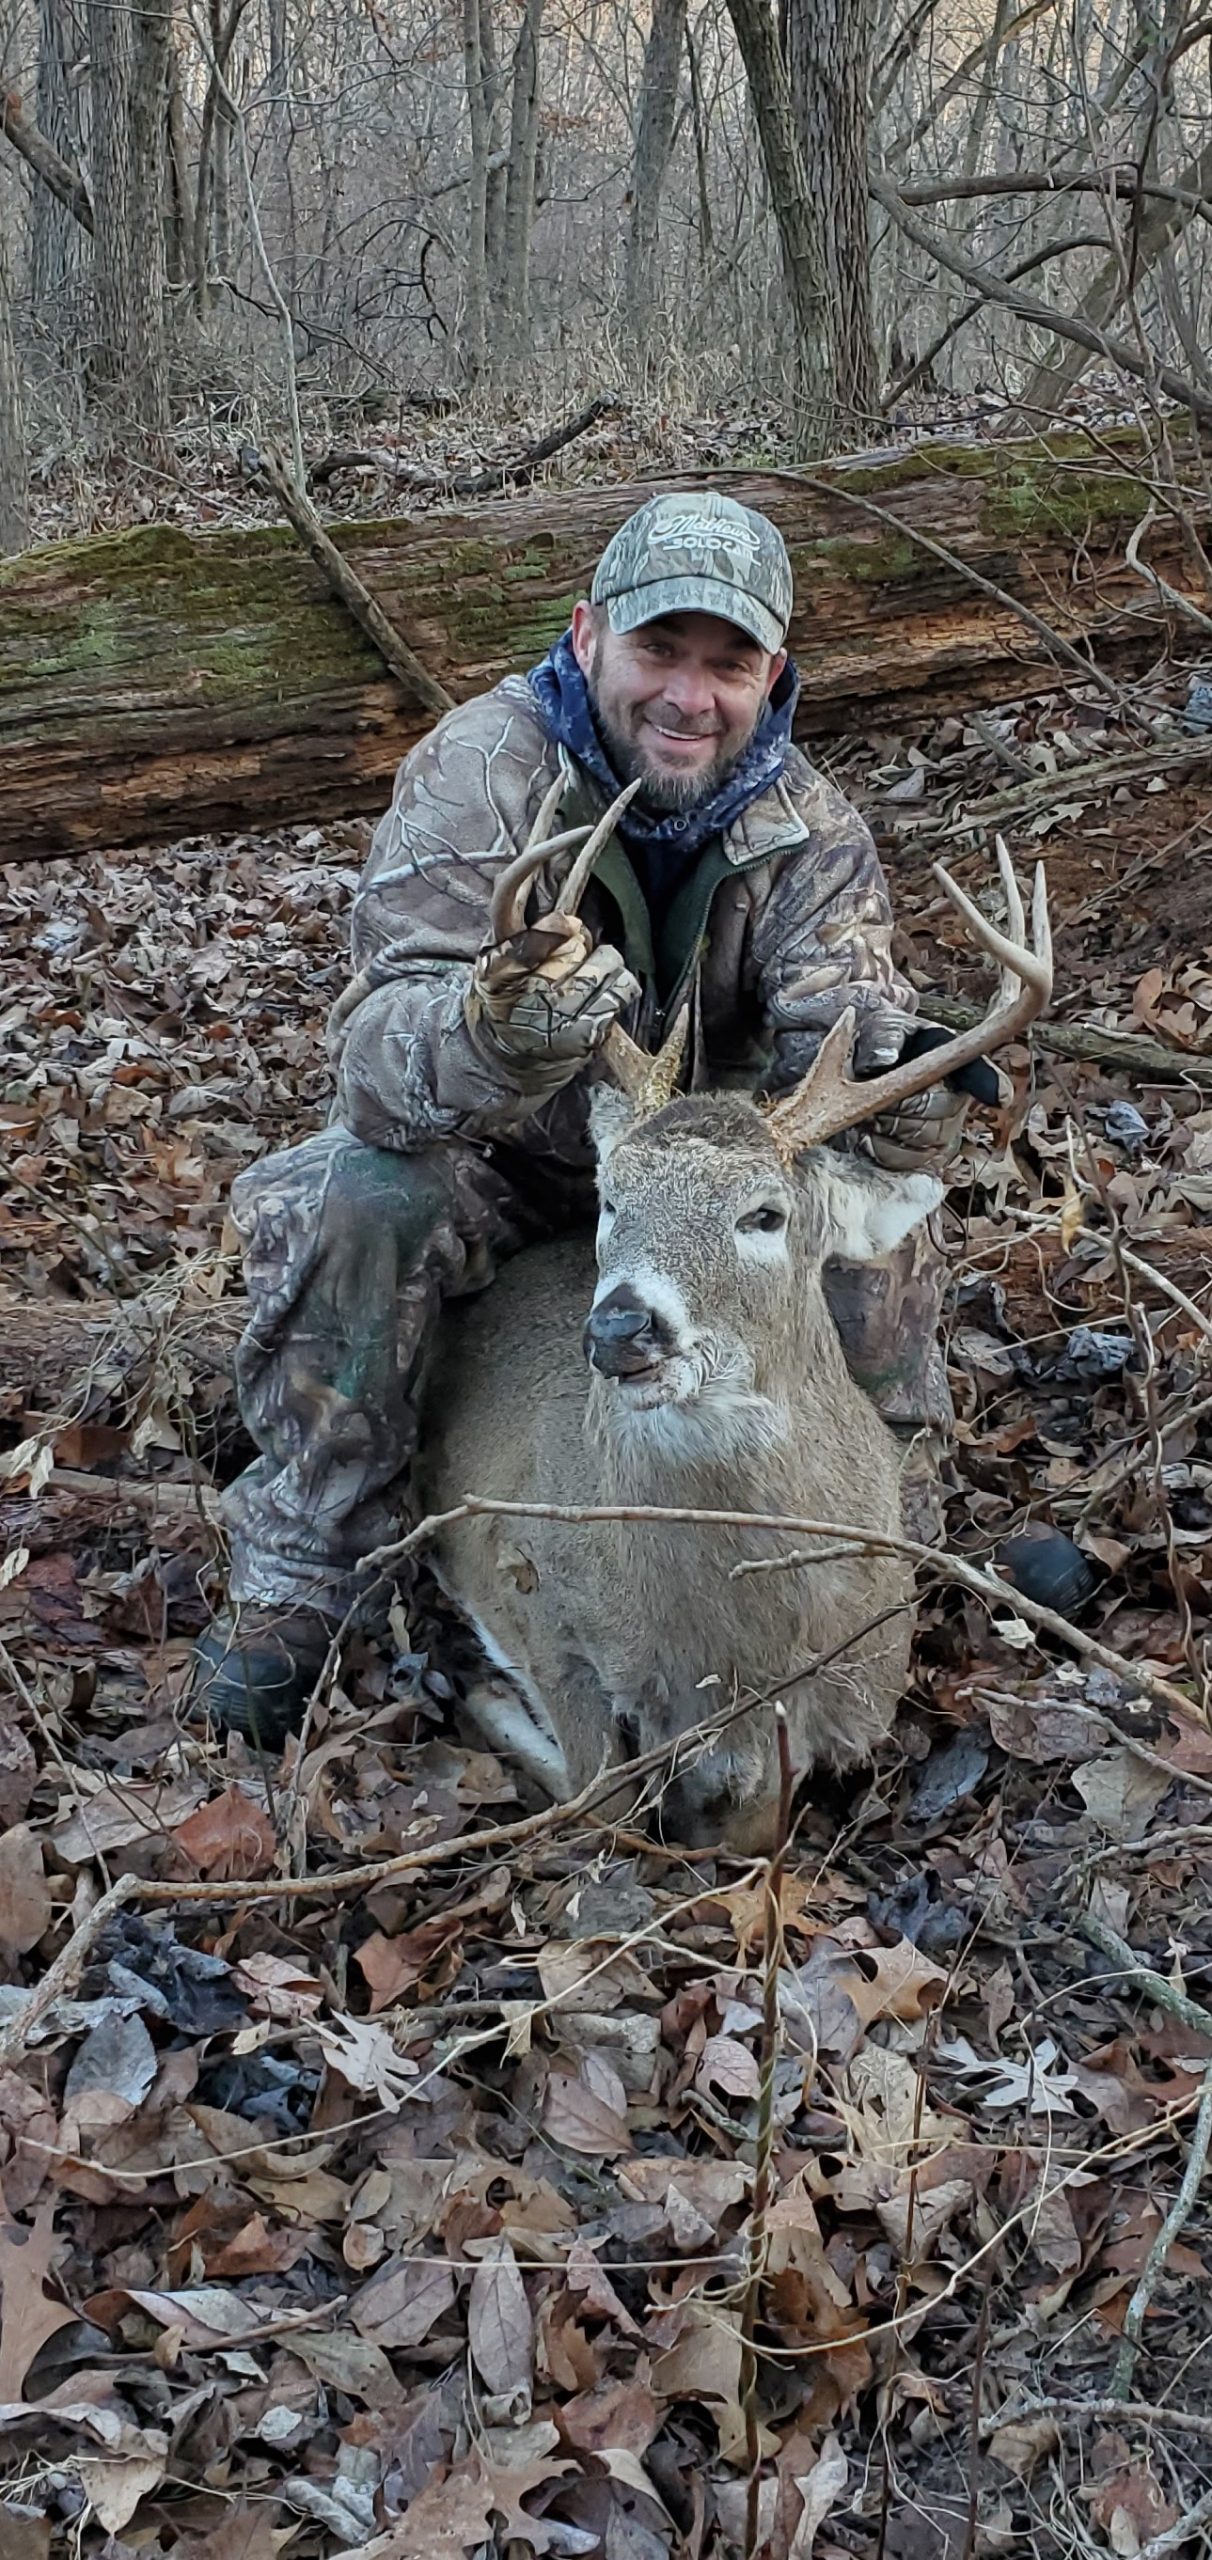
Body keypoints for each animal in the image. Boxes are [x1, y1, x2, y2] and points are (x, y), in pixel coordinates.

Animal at [417, 786, 1051, 1850]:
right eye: (612, 1198)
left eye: (764, 1213)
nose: (621, 1329)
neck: (737, 1659)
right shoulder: (524, 1577)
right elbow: (603, 1802)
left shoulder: (862, 1685)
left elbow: (753, 1822)